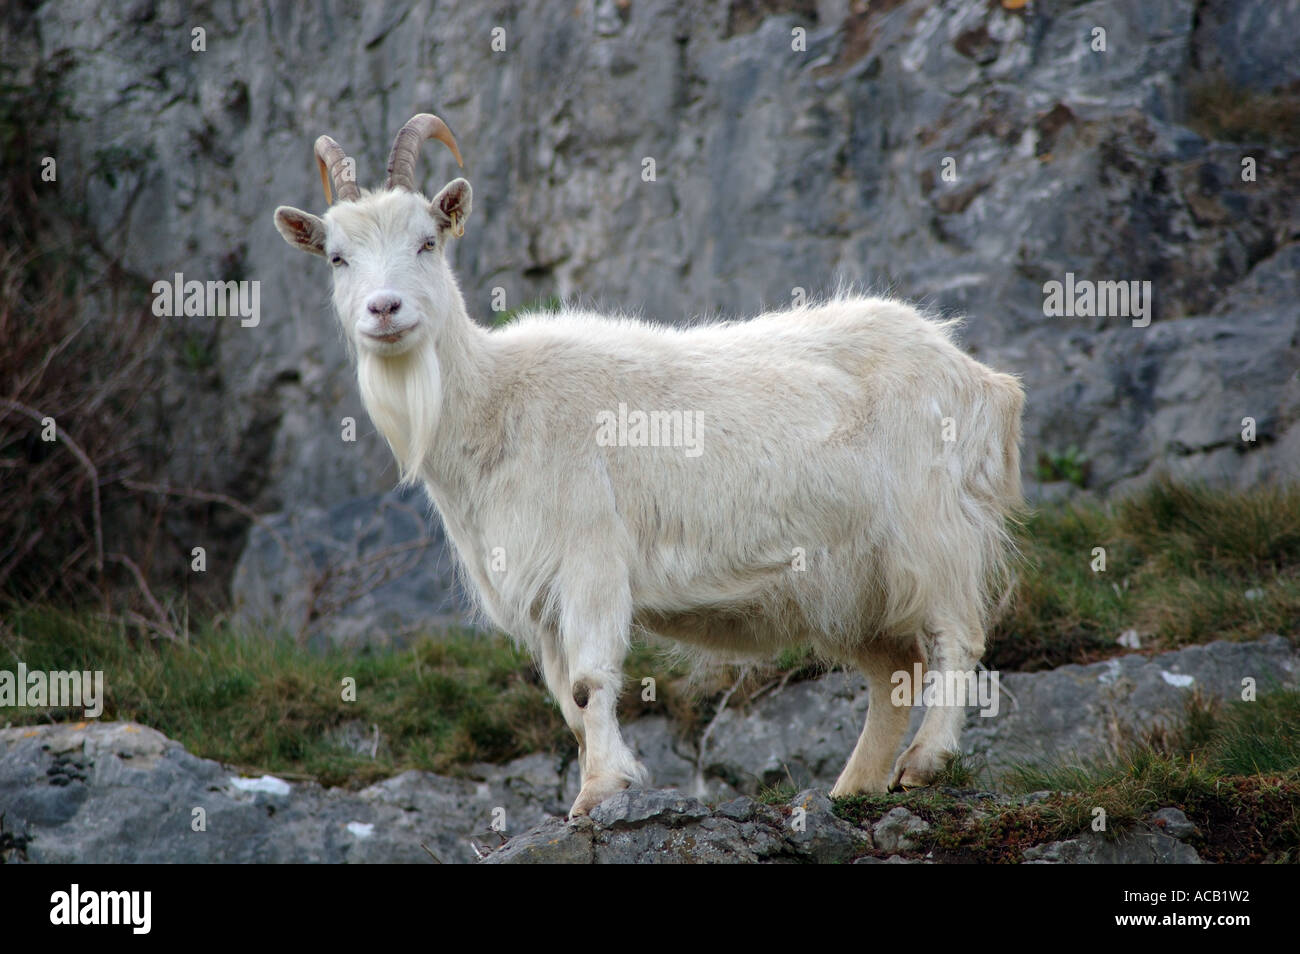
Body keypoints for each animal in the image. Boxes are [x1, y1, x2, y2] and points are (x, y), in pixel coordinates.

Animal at [274, 114, 1025, 818]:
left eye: (427, 241)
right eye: (337, 258)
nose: (385, 309)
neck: (496, 399)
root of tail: (982, 380)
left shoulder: (590, 557)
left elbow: (589, 684)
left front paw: (601, 792)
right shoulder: (538, 596)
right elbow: (567, 702)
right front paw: (597, 783)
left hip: (931, 528)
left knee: (956, 636)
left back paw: (925, 763)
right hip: (849, 581)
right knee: (896, 668)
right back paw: (856, 787)